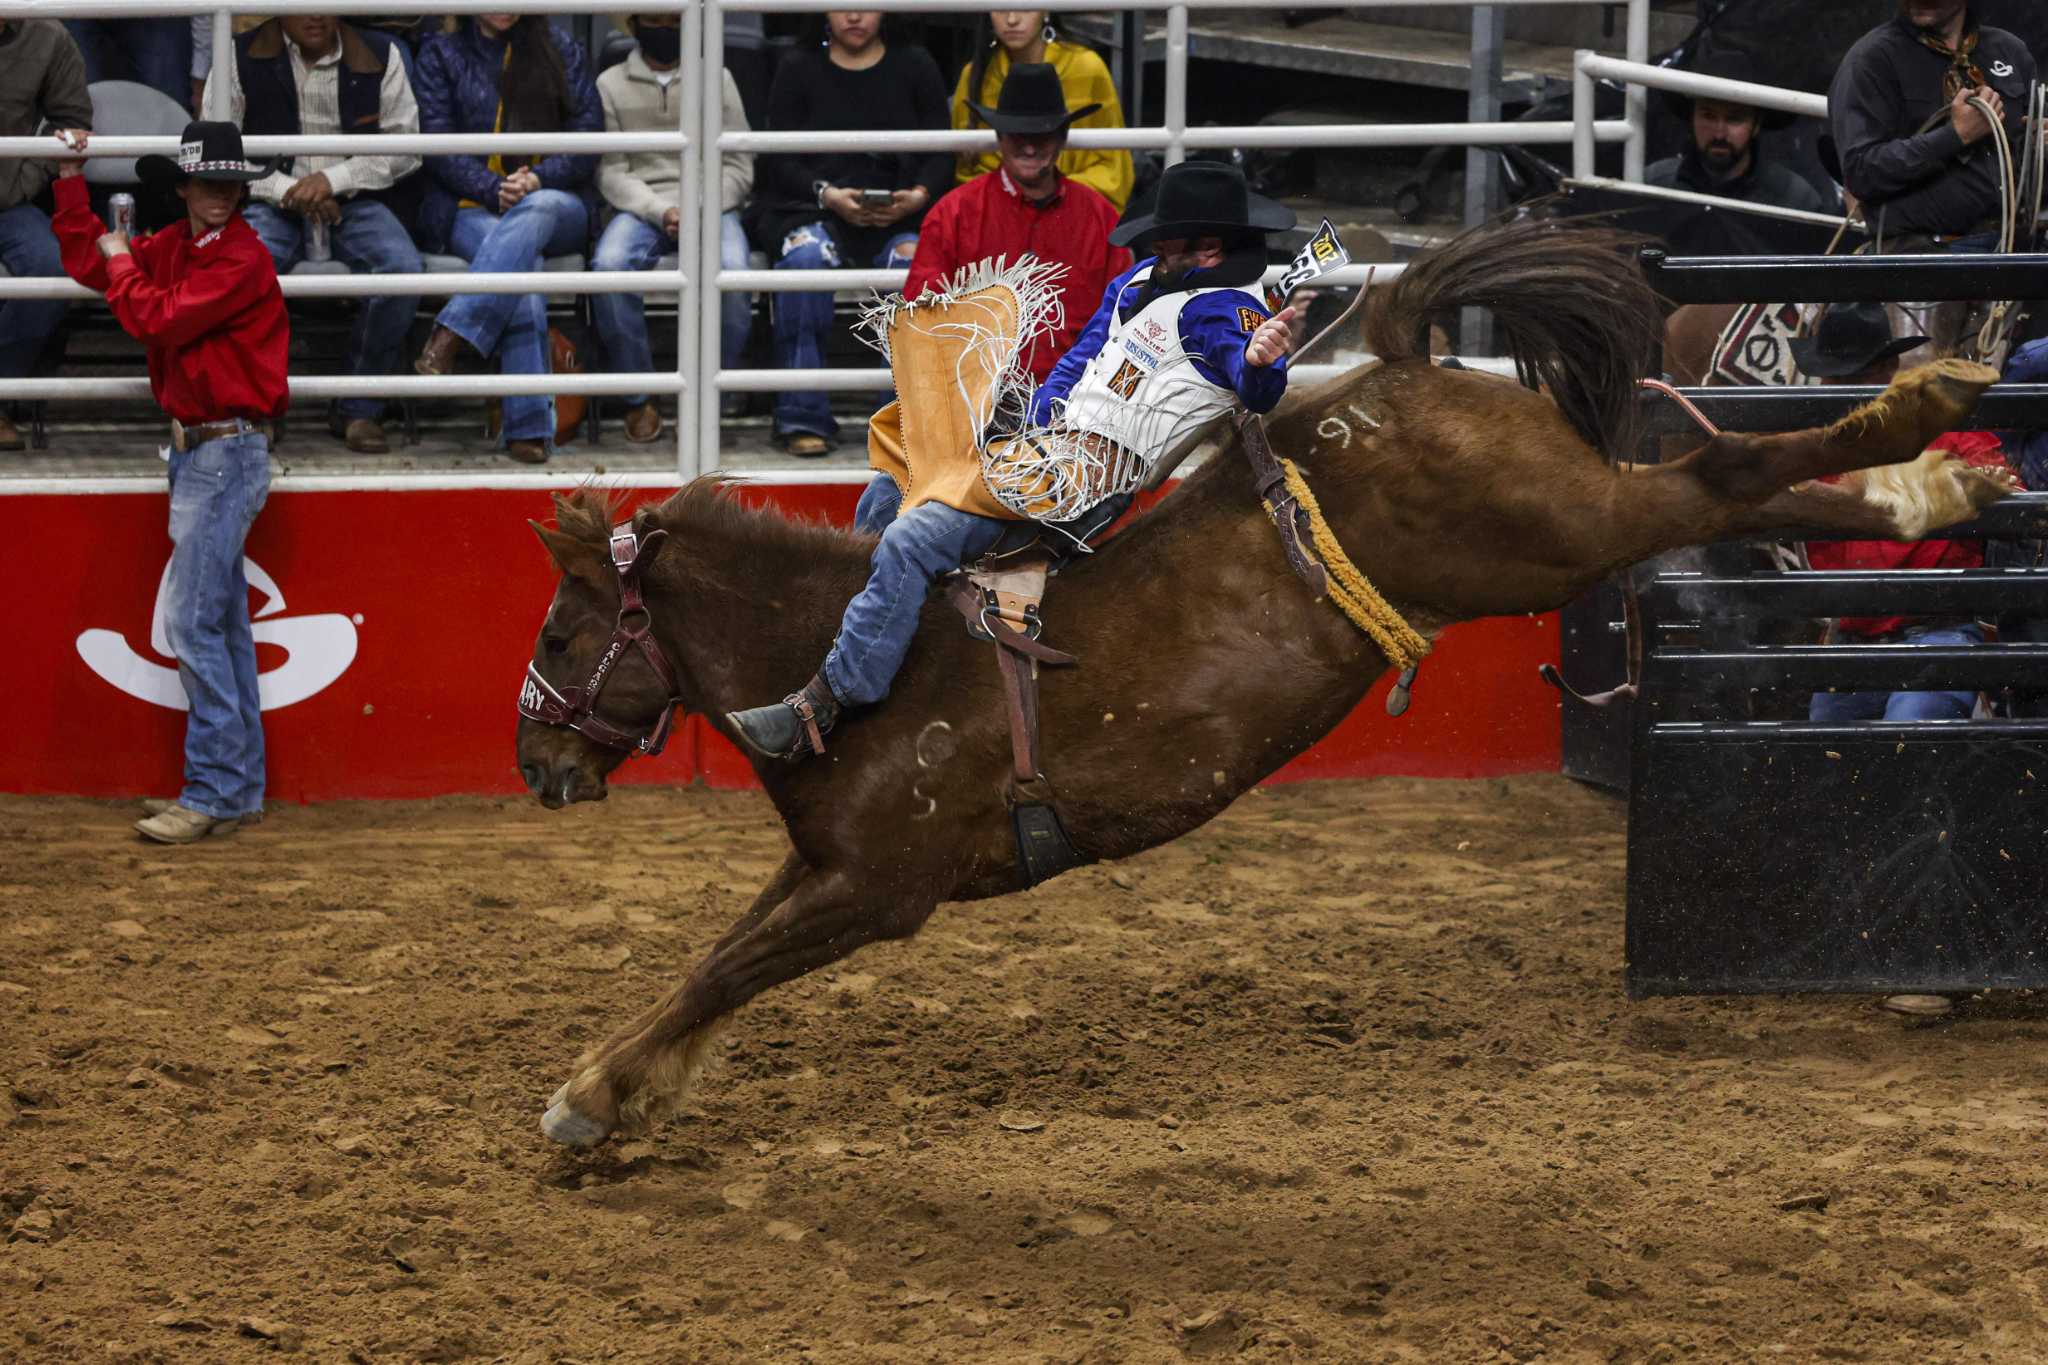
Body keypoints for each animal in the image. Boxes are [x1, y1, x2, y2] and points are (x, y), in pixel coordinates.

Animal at [517, 218, 2018, 1149]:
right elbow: (713, 960)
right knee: (1722, 487)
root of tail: (1405, 361)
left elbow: (727, 967)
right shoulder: (822, 866)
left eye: (559, 638)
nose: (536, 764)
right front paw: (625, 1087)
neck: (848, 660)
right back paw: (1933, 468)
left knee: (1719, 473)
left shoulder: (880, 888)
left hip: (1550, 531)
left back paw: (1923, 434)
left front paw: (587, 1099)